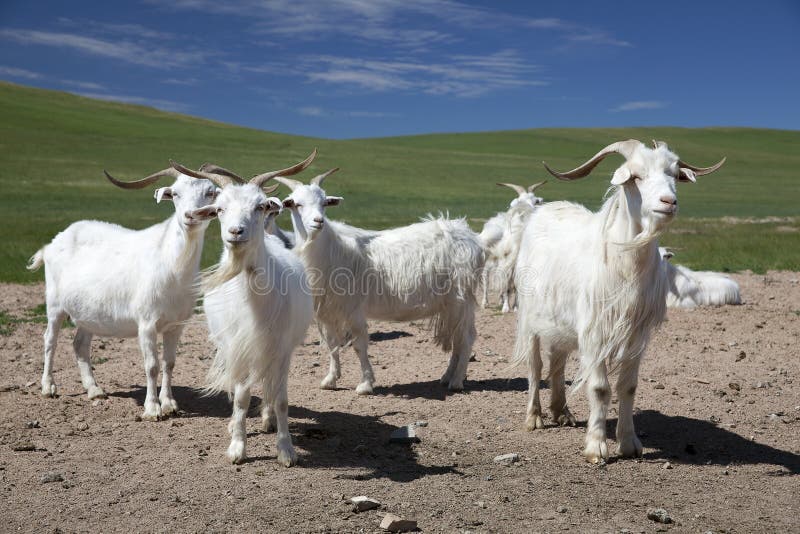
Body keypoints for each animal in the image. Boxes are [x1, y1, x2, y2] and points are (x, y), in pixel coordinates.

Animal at [27, 166, 219, 420]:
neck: (171, 263)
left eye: (210, 192)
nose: (190, 216)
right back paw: (48, 387)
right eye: (175, 193)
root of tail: (53, 243)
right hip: (55, 303)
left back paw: (94, 390)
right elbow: (152, 365)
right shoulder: (147, 323)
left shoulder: (177, 325)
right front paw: (152, 408)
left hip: (89, 312)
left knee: (80, 344)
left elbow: (169, 363)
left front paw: (170, 404)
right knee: (50, 339)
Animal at [172, 152, 315, 466]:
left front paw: (286, 450)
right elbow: (241, 397)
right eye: (219, 208)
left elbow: (281, 399)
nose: (236, 232)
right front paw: (237, 447)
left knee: (270, 387)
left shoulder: (281, 348)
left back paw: (268, 419)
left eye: (260, 206)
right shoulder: (237, 346)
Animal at [276, 171, 485, 395]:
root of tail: (469, 235)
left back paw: (456, 381)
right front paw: (330, 380)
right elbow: (332, 345)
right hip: (452, 304)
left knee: (467, 337)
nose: (318, 221)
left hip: (461, 298)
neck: (331, 250)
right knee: (457, 338)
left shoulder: (353, 309)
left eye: (324, 202)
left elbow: (359, 346)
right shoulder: (329, 310)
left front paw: (366, 384)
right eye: (296, 204)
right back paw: (447, 377)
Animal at [480, 180, 546, 312]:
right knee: (486, 279)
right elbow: (508, 282)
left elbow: (514, 283)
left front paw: (514, 306)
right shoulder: (507, 260)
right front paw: (507, 307)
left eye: (535, 201)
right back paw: (485, 303)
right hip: (489, 261)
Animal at [511, 139, 725, 463]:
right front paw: (597, 447)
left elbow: (629, 387)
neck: (625, 263)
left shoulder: (636, 334)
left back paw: (561, 412)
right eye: (635, 176)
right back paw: (534, 417)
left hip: (561, 322)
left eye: (673, 174)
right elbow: (600, 389)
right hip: (529, 316)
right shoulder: (595, 331)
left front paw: (629, 443)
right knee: (535, 366)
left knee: (558, 360)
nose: (668, 202)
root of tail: (548, 208)